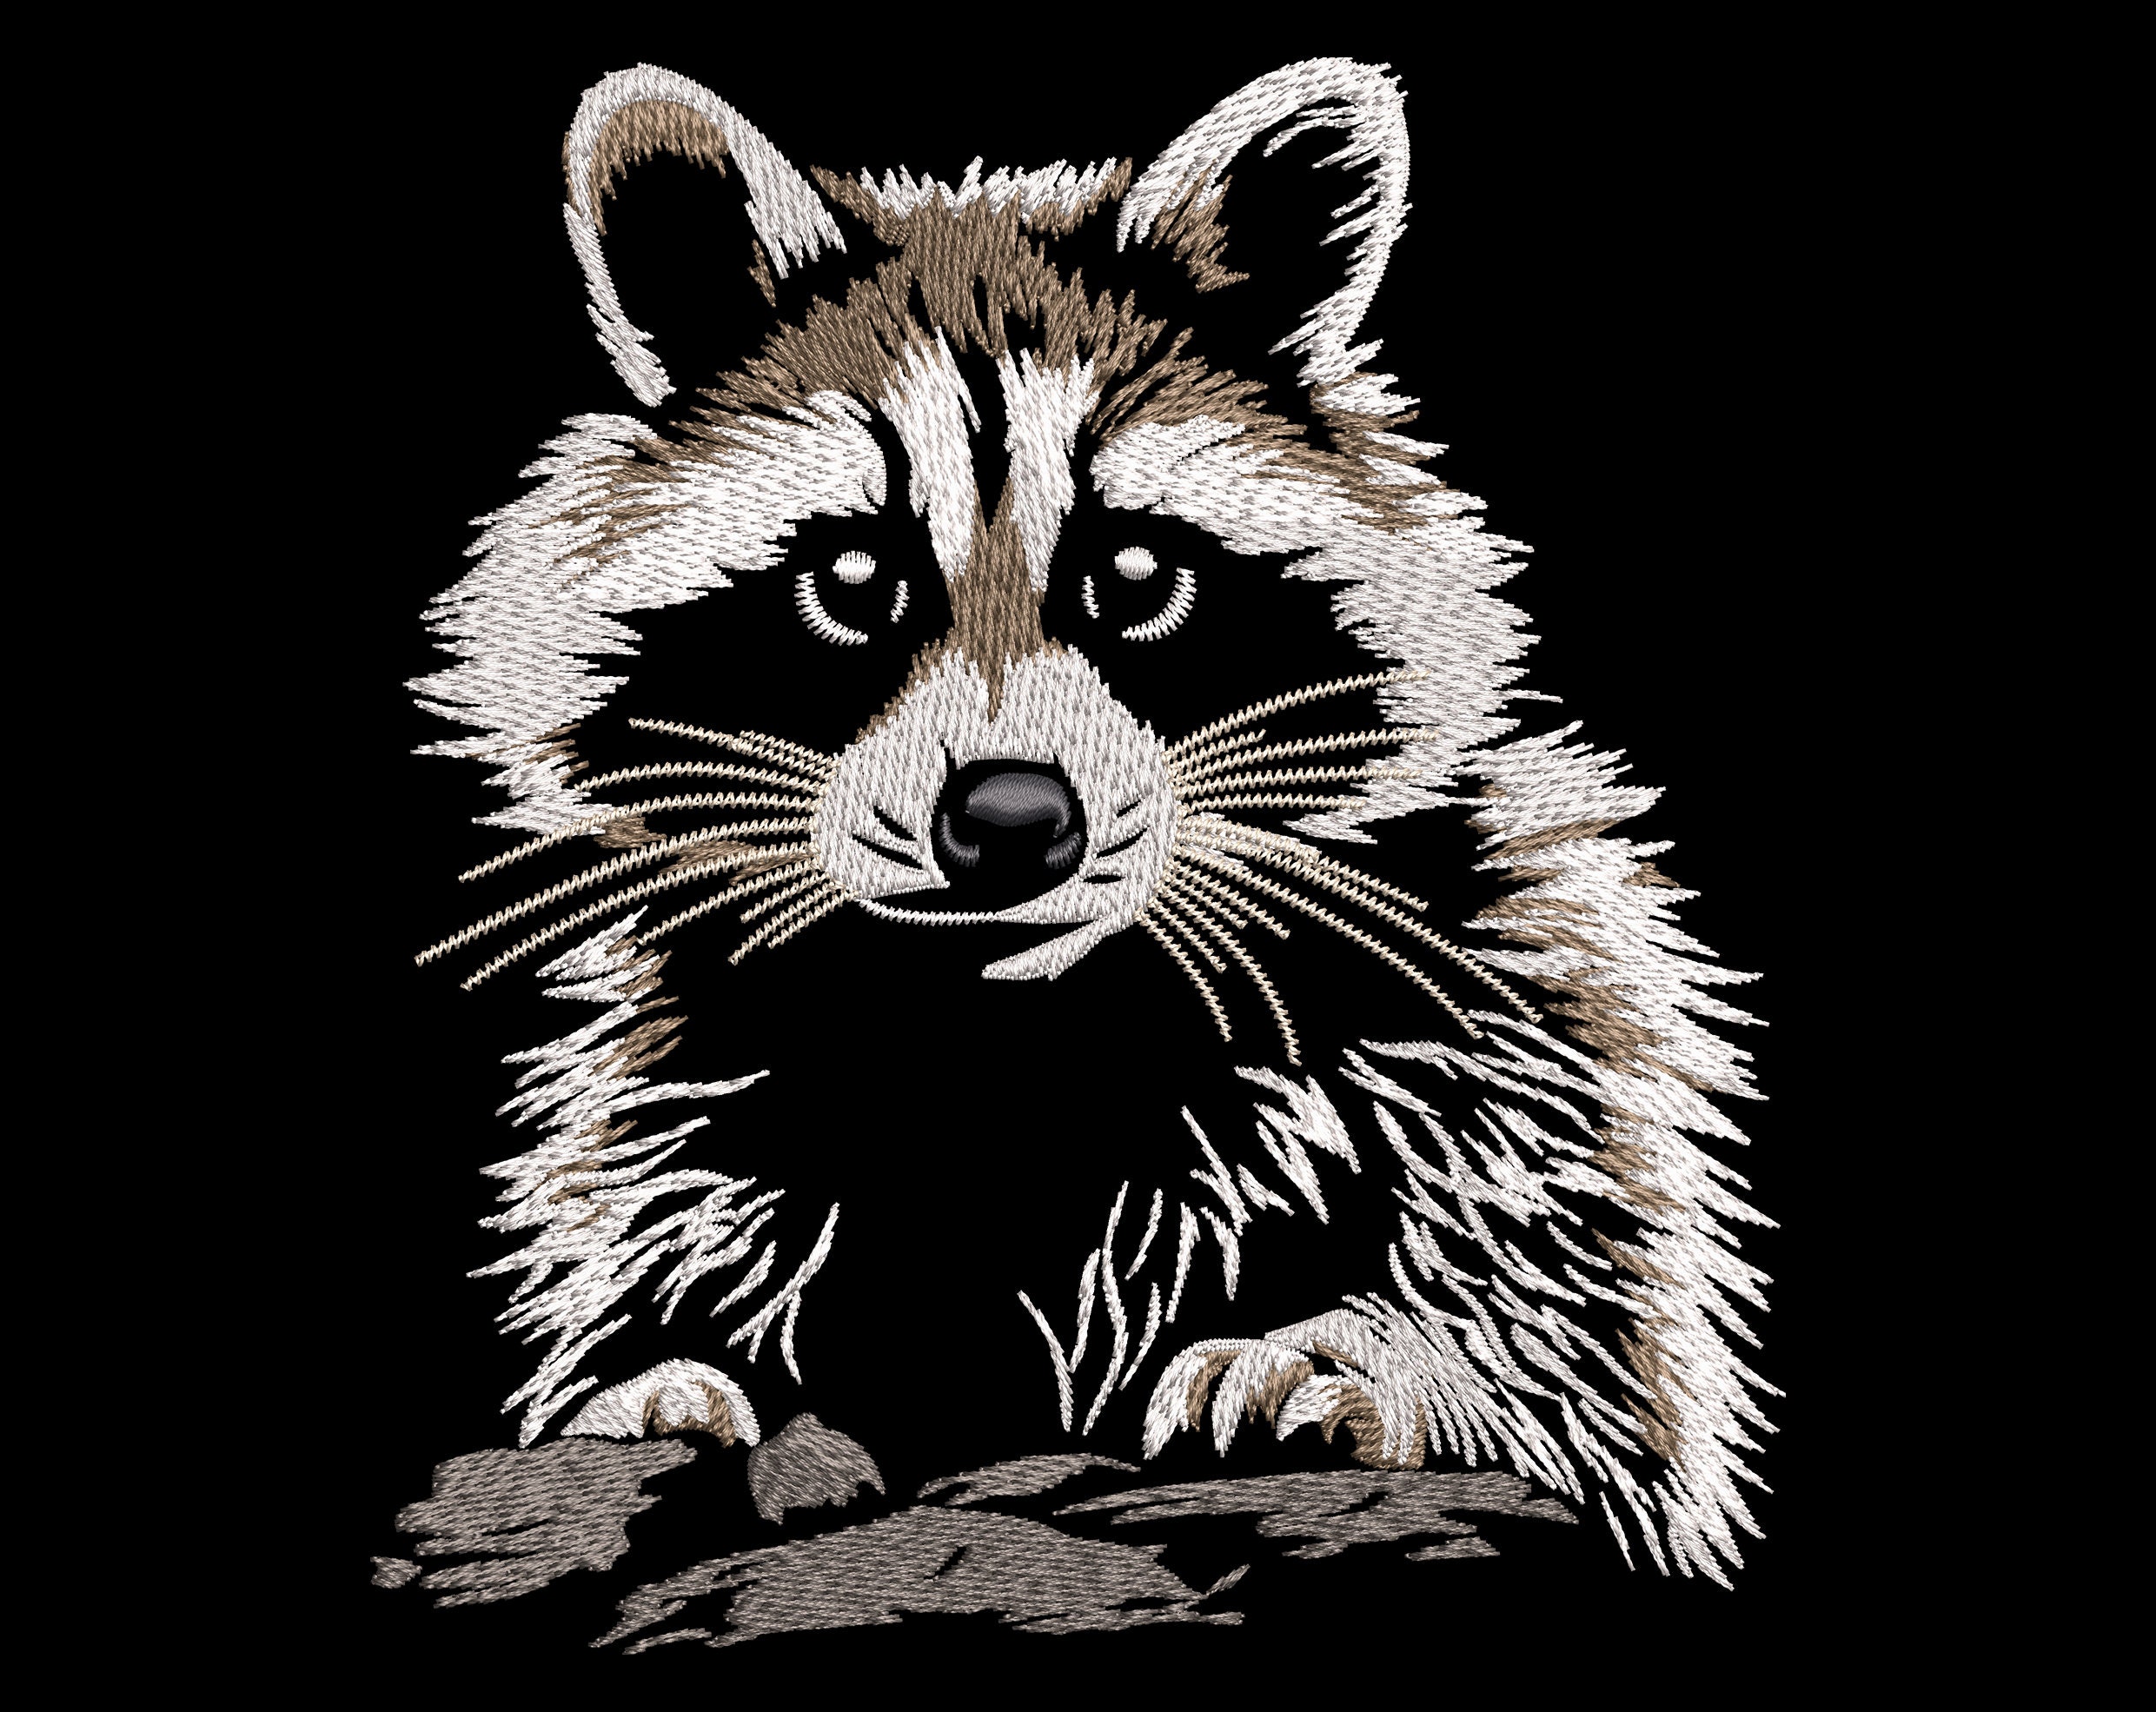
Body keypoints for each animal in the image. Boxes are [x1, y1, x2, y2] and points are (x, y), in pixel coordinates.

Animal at [410, 57, 1772, 1590]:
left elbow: (1582, 1367)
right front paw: (661, 1376)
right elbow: (668, 1255)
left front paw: (1385, 1357)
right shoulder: (675, 1108)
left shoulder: (1512, 1024)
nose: (1009, 820)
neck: (1003, 1012)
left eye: (1131, 571)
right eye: (853, 576)